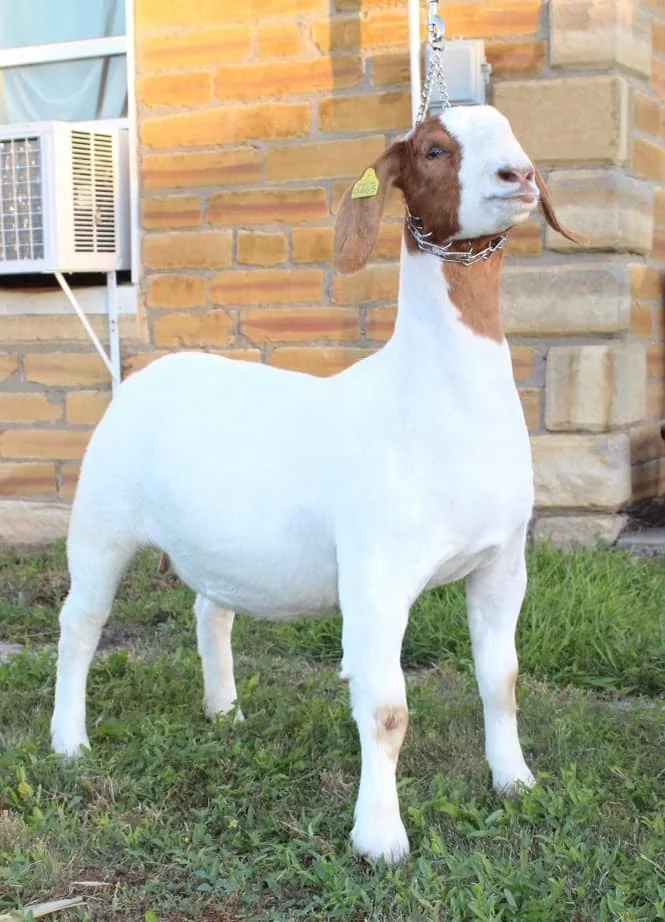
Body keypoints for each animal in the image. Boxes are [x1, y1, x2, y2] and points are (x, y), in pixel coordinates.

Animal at [50, 106, 578, 864]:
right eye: (433, 149)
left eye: (508, 130)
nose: (519, 175)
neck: (426, 396)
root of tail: (147, 374)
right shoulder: (377, 576)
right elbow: (386, 710)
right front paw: (380, 838)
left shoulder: (503, 565)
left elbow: (501, 681)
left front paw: (514, 780)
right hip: (100, 527)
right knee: (80, 625)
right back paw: (69, 743)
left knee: (211, 612)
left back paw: (224, 710)